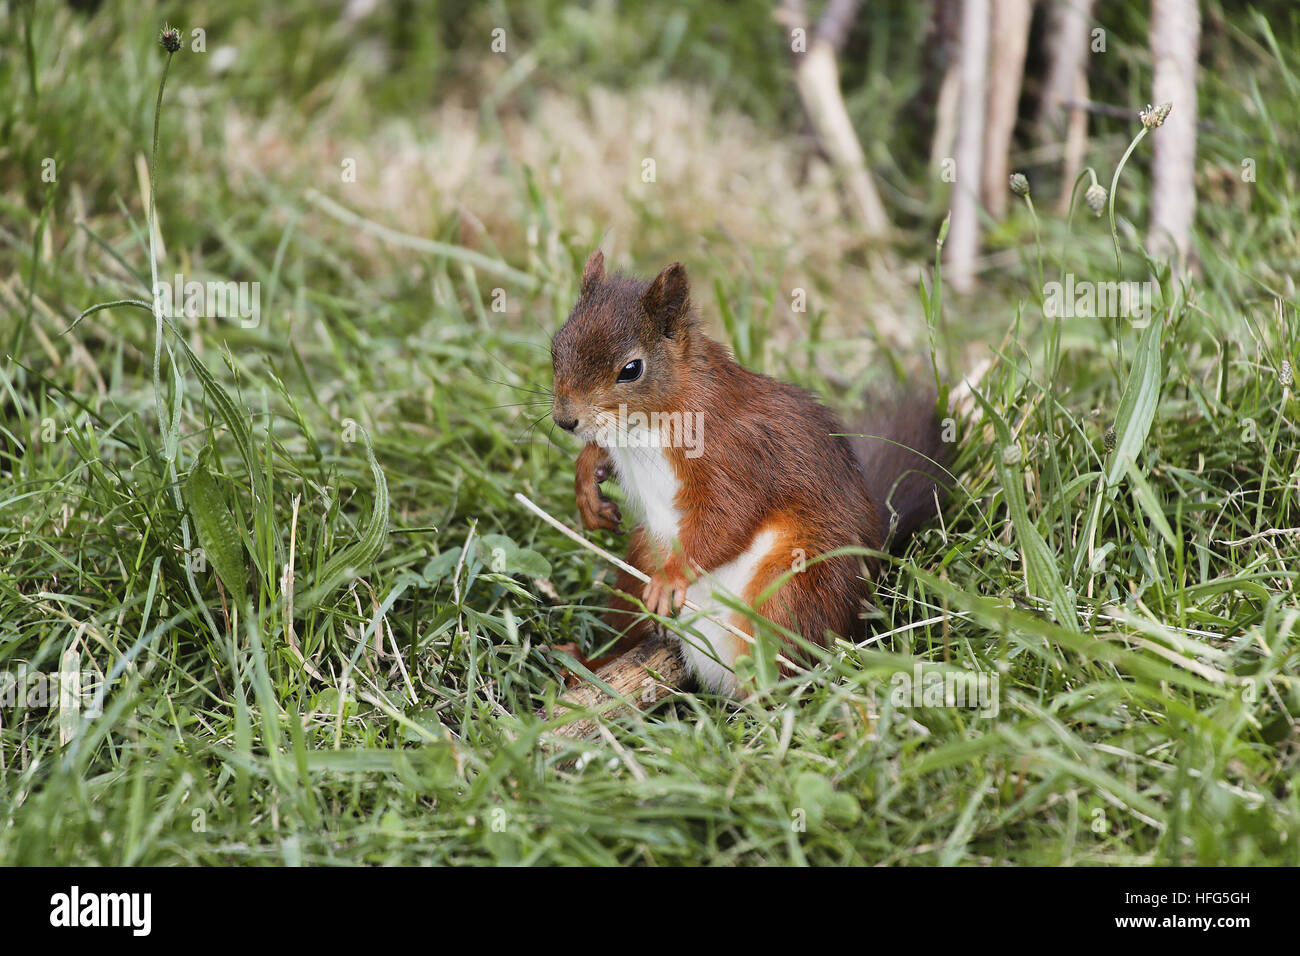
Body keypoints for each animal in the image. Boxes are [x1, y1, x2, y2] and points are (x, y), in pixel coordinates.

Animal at [550, 250, 949, 695]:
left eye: (631, 369)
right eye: (556, 346)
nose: (566, 421)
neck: (647, 424)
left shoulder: (736, 453)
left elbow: (729, 516)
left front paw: (671, 579)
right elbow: (598, 452)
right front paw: (587, 486)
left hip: (792, 587)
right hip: (642, 558)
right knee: (627, 628)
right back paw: (584, 662)